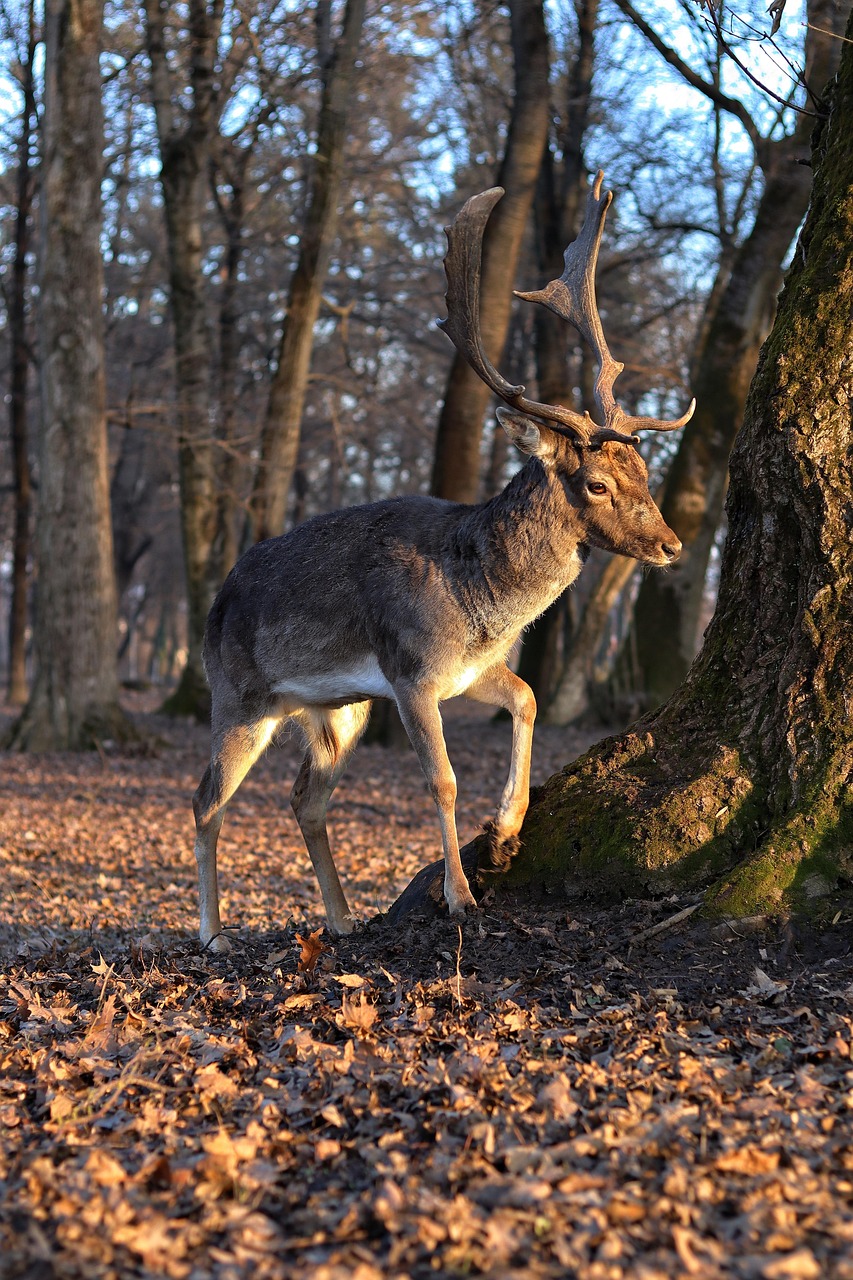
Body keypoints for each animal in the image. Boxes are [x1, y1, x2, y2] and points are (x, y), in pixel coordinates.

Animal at [192, 171, 693, 951]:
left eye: (643, 471)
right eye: (595, 483)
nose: (671, 544)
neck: (479, 598)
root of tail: (214, 603)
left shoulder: (469, 670)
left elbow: (528, 696)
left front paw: (508, 825)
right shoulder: (411, 672)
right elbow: (443, 780)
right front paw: (461, 896)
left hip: (335, 709)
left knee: (304, 798)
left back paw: (340, 918)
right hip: (239, 694)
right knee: (207, 801)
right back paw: (213, 933)